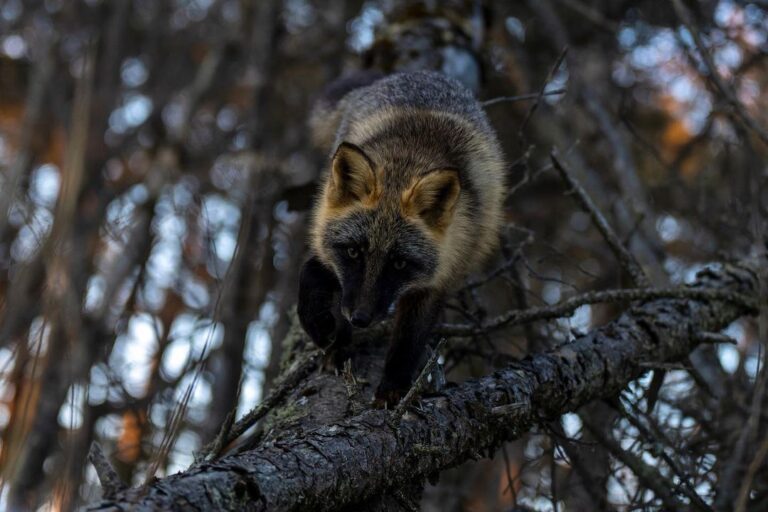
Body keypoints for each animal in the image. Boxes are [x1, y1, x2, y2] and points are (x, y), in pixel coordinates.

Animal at [298, 70, 506, 405]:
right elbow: (310, 275)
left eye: (398, 263)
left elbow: (409, 340)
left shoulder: (437, 279)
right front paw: (325, 332)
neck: (408, 161)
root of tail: (419, 73)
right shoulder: (332, 253)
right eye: (354, 252)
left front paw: (394, 387)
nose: (360, 319)